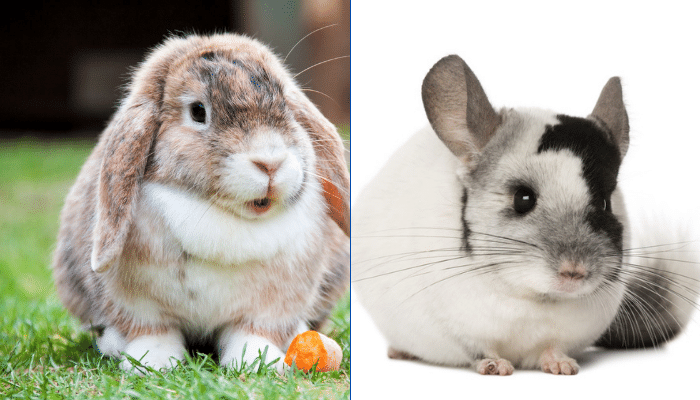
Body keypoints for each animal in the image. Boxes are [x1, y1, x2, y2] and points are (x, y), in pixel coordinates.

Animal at [52, 33, 349, 374]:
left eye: (286, 105)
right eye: (198, 111)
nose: (270, 162)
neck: (224, 216)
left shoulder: (271, 307)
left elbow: (252, 333)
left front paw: (256, 362)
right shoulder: (139, 305)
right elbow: (153, 332)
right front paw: (152, 363)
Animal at [352, 55, 698, 375]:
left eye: (604, 203)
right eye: (523, 198)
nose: (574, 272)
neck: (533, 297)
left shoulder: (564, 334)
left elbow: (551, 348)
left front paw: (563, 366)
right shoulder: (460, 328)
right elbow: (480, 350)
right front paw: (496, 367)